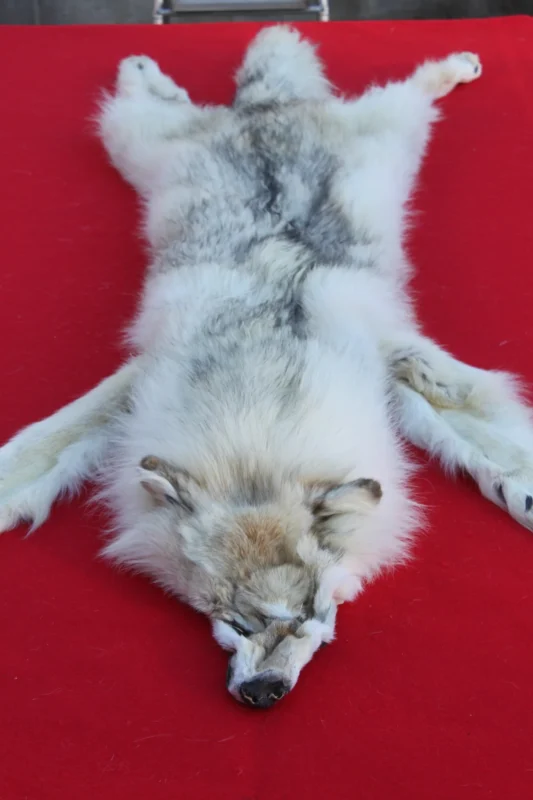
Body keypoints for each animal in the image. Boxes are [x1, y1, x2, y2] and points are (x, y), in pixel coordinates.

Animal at [1, 27, 532, 709]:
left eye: (311, 613)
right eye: (229, 621)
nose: (261, 693)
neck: (261, 408)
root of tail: (264, 108)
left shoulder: (396, 361)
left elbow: (492, 439)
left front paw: (522, 490)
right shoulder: (143, 381)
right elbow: (40, 449)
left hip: (392, 133)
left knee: (412, 87)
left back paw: (457, 66)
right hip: (141, 144)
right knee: (155, 100)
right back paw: (143, 64)